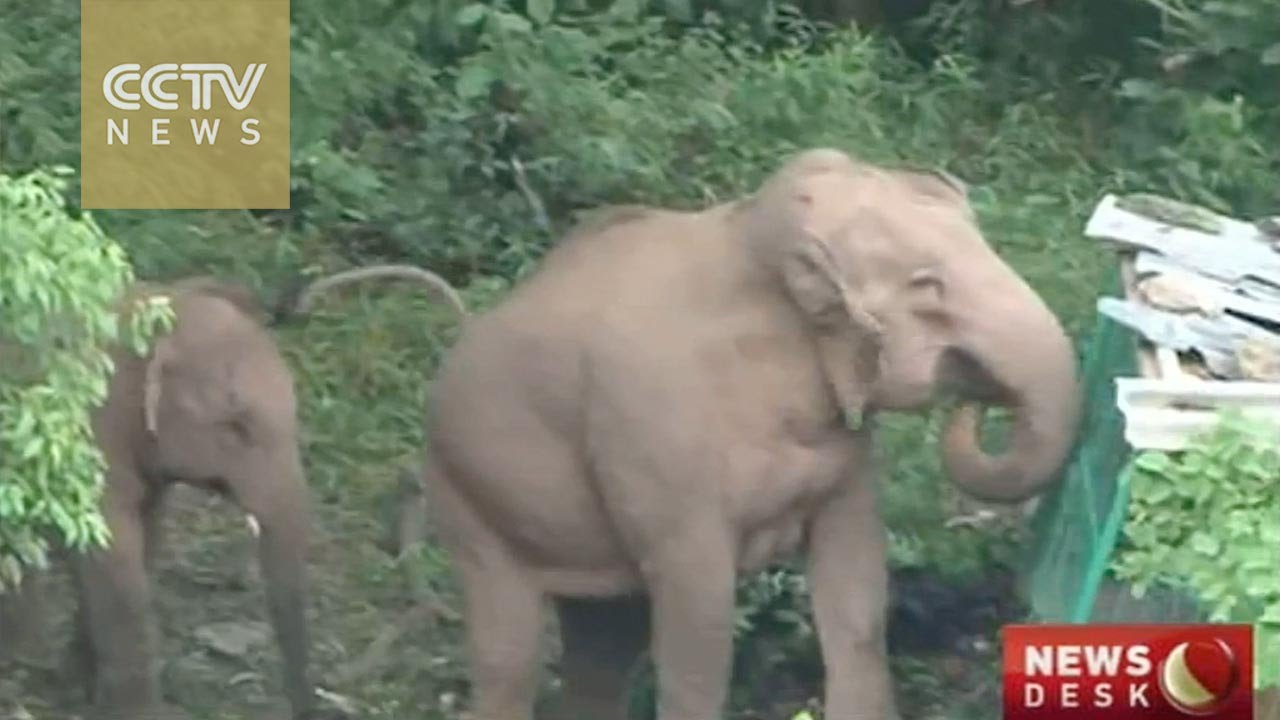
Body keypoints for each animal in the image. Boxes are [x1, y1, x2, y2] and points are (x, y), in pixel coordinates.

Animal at [0, 268, 464, 720]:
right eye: (236, 426)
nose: (314, 706)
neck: (165, 305)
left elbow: (142, 537)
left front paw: (75, 687)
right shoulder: (89, 423)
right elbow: (114, 547)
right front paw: (129, 711)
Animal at [422, 147, 1083, 720]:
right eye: (927, 286)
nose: (978, 398)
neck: (756, 241)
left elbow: (858, 589)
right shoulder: (658, 444)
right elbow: (699, 634)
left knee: (603, 640)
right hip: (470, 497)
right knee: (509, 656)